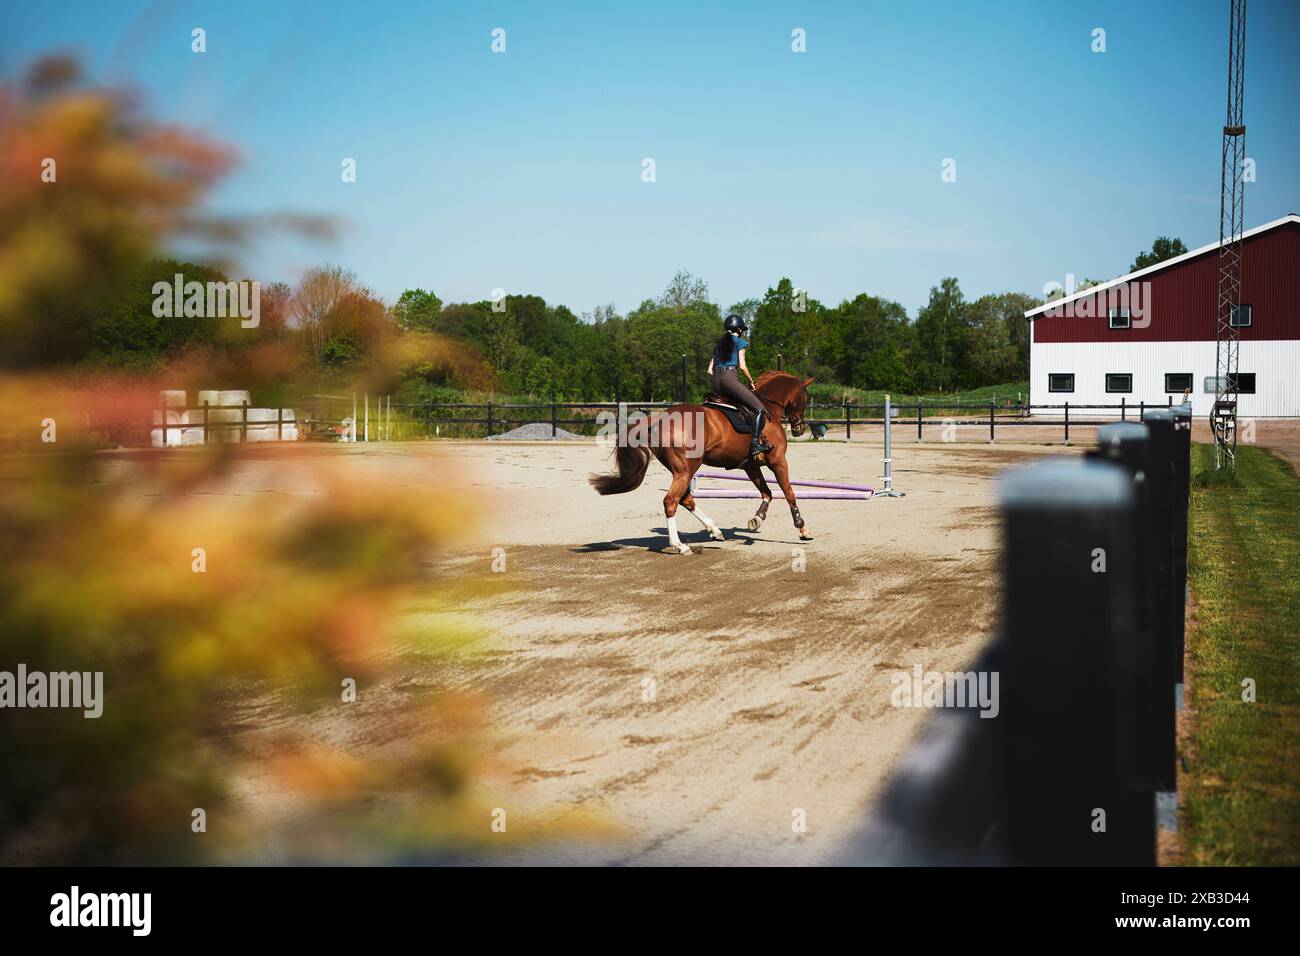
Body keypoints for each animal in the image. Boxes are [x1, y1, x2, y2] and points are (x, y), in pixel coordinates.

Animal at [589, 371, 815, 553]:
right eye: (805, 397)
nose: (799, 429)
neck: (767, 410)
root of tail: (659, 420)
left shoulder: (750, 466)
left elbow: (767, 493)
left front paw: (757, 519)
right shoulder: (778, 461)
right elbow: (788, 492)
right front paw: (802, 527)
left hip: (683, 470)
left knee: (685, 499)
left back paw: (714, 530)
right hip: (687, 469)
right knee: (671, 501)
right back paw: (679, 545)